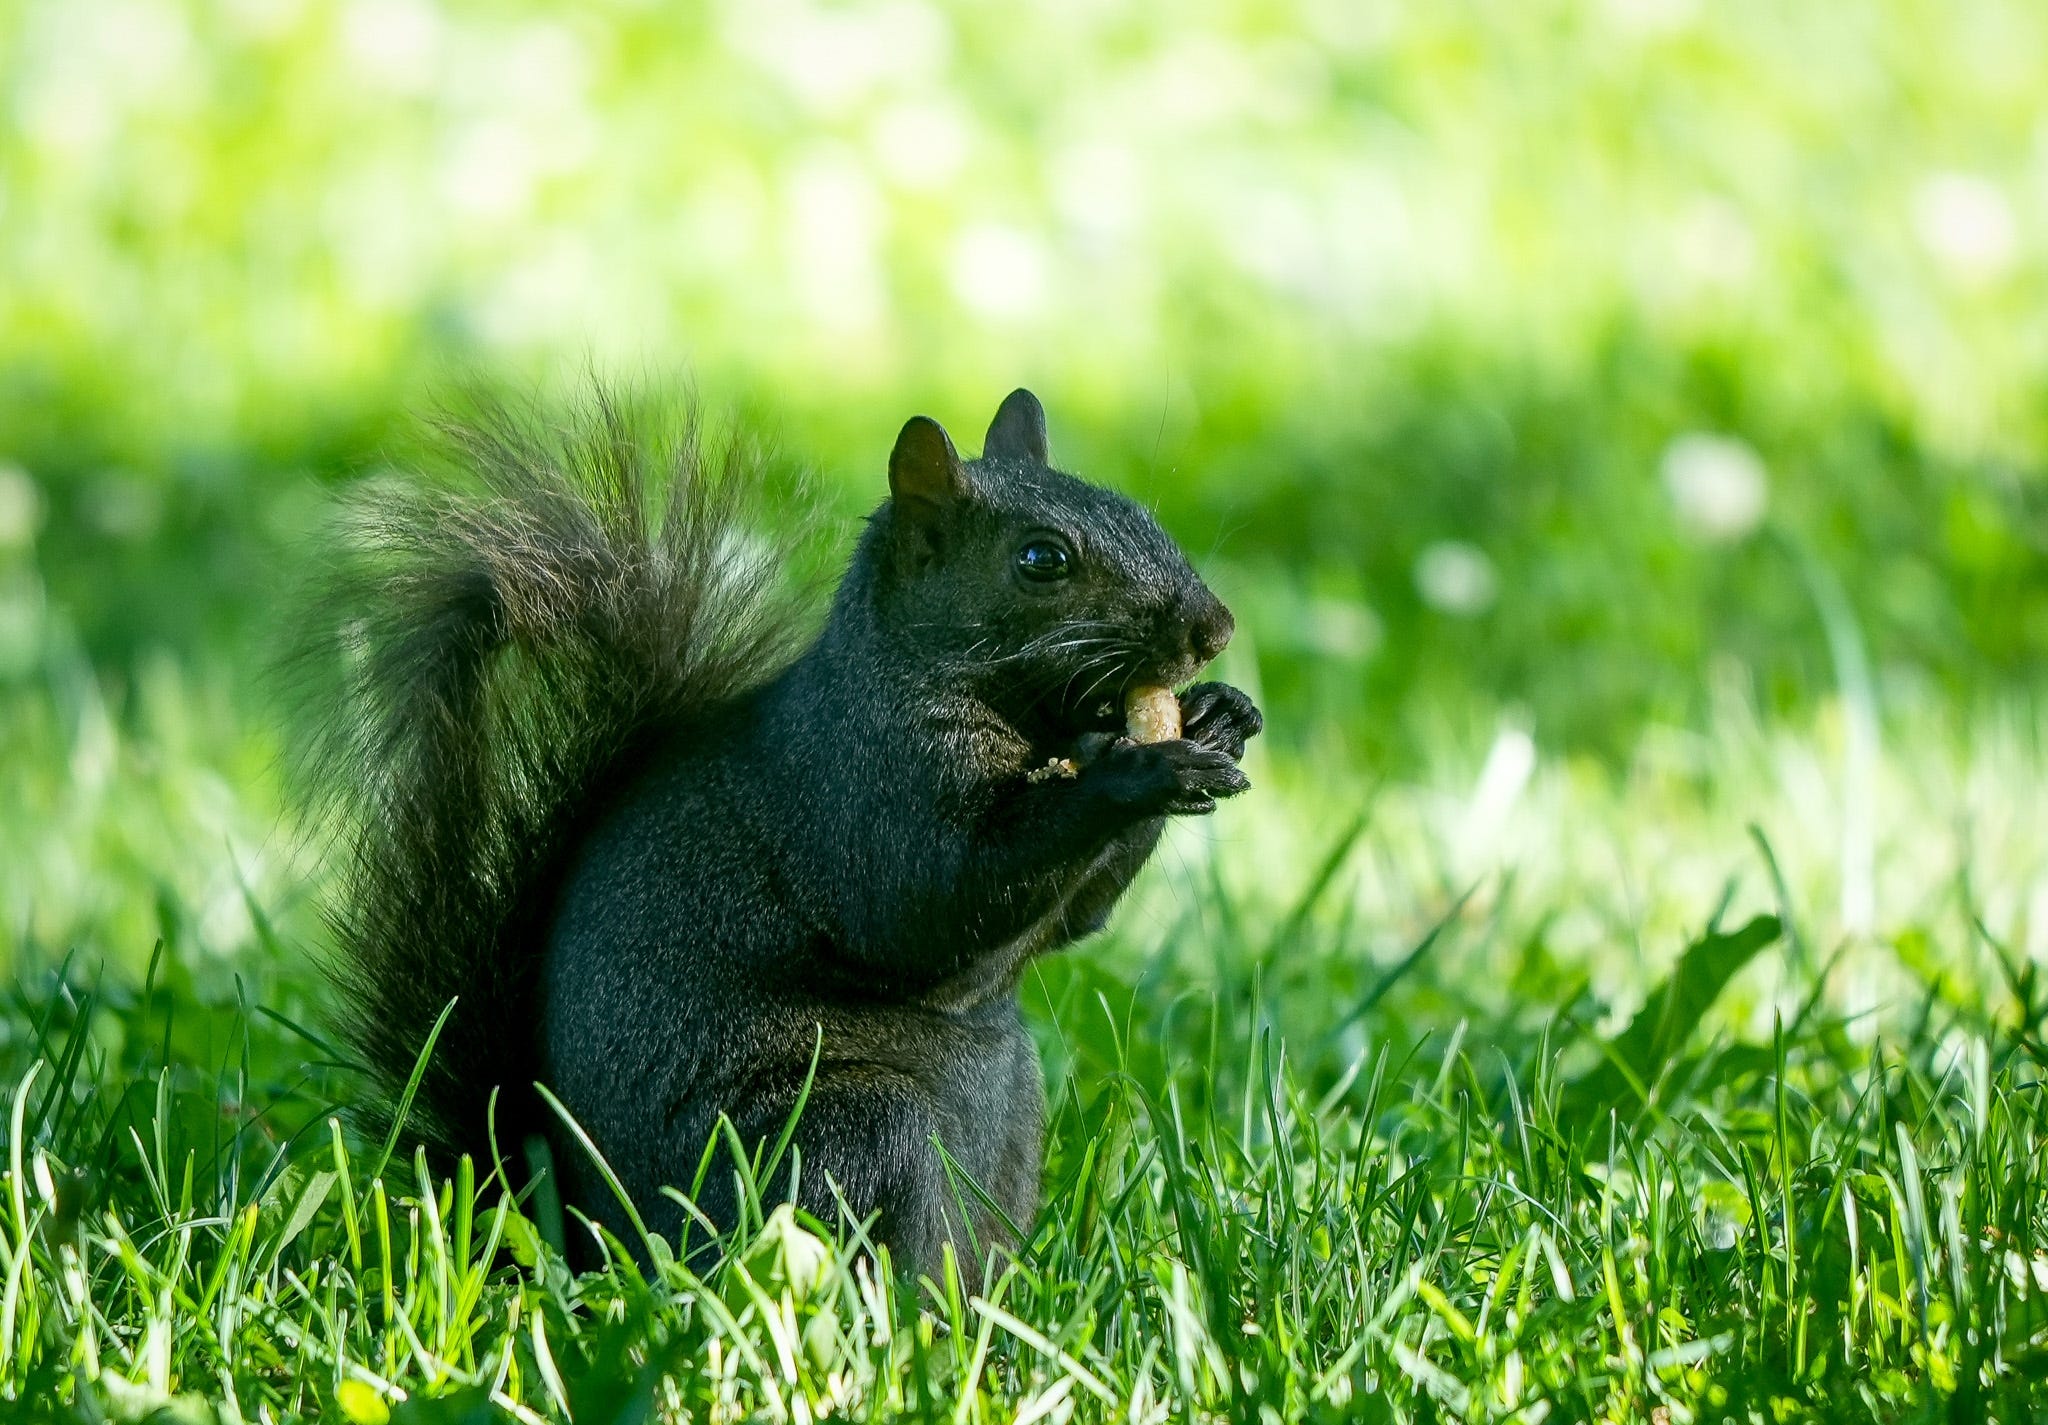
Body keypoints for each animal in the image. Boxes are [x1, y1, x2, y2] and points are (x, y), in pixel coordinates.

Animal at [298, 385, 1262, 1272]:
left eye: (1140, 512)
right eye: (1041, 559)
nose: (1214, 630)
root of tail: (575, 1229)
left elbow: (1072, 921)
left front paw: (1220, 716)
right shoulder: (859, 789)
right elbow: (933, 901)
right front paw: (1142, 771)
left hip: (1013, 1115)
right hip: (836, 1132)